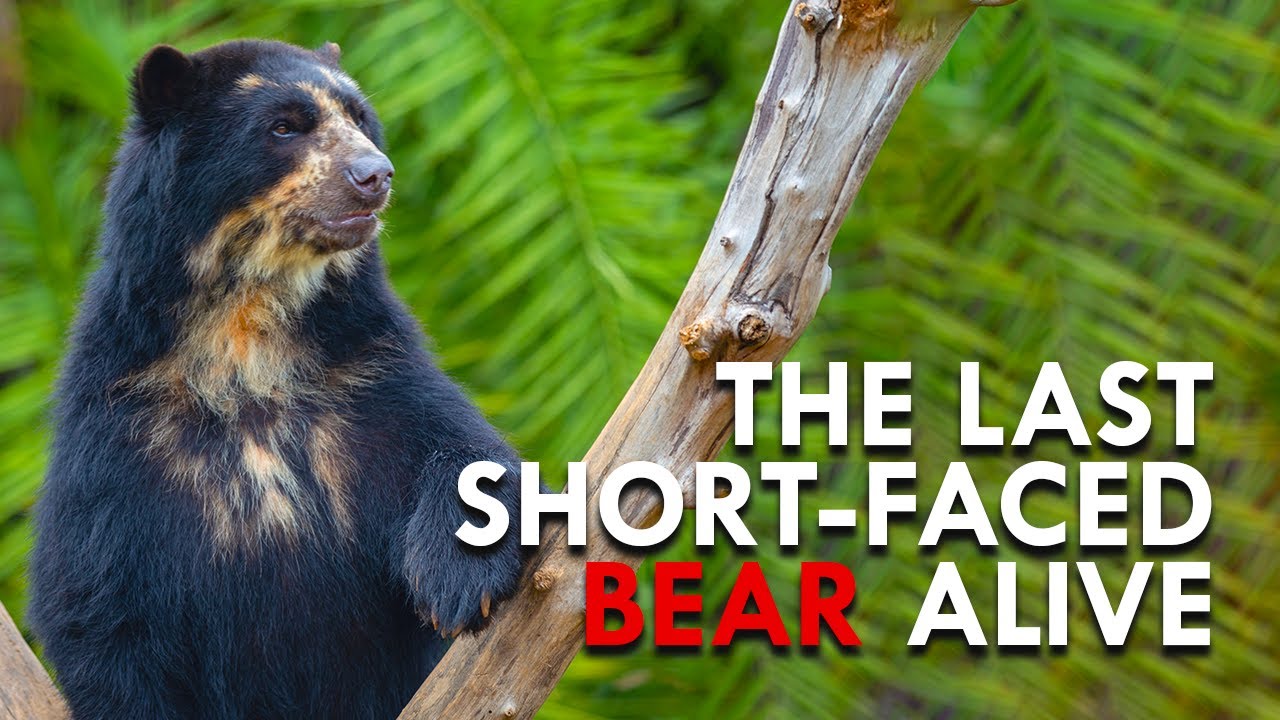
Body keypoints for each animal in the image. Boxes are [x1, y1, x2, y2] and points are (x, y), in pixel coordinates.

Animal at [28, 39, 527, 719]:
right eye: (284, 127)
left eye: (360, 118)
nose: (375, 175)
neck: (247, 335)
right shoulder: (118, 427)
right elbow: (95, 603)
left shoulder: (367, 369)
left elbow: (463, 449)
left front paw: (454, 584)